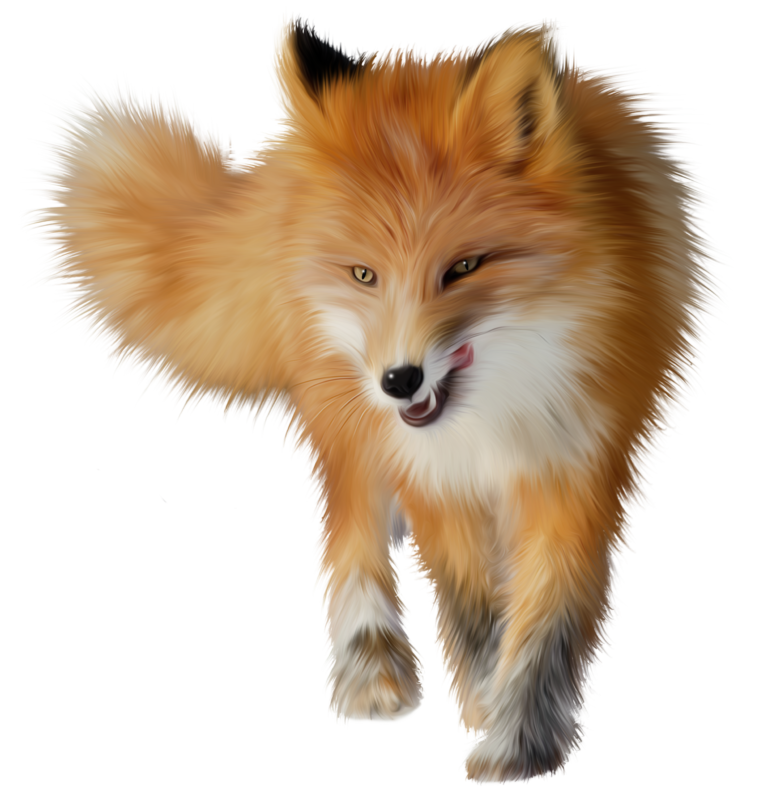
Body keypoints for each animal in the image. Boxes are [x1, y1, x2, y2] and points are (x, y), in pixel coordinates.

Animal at [19, 10, 731, 785]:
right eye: (364, 274)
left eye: (464, 268)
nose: (399, 381)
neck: (496, 413)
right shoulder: (433, 478)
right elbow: (472, 617)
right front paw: (482, 708)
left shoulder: (578, 469)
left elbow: (546, 623)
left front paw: (514, 743)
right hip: (343, 413)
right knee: (345, 527)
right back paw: (368, 662)